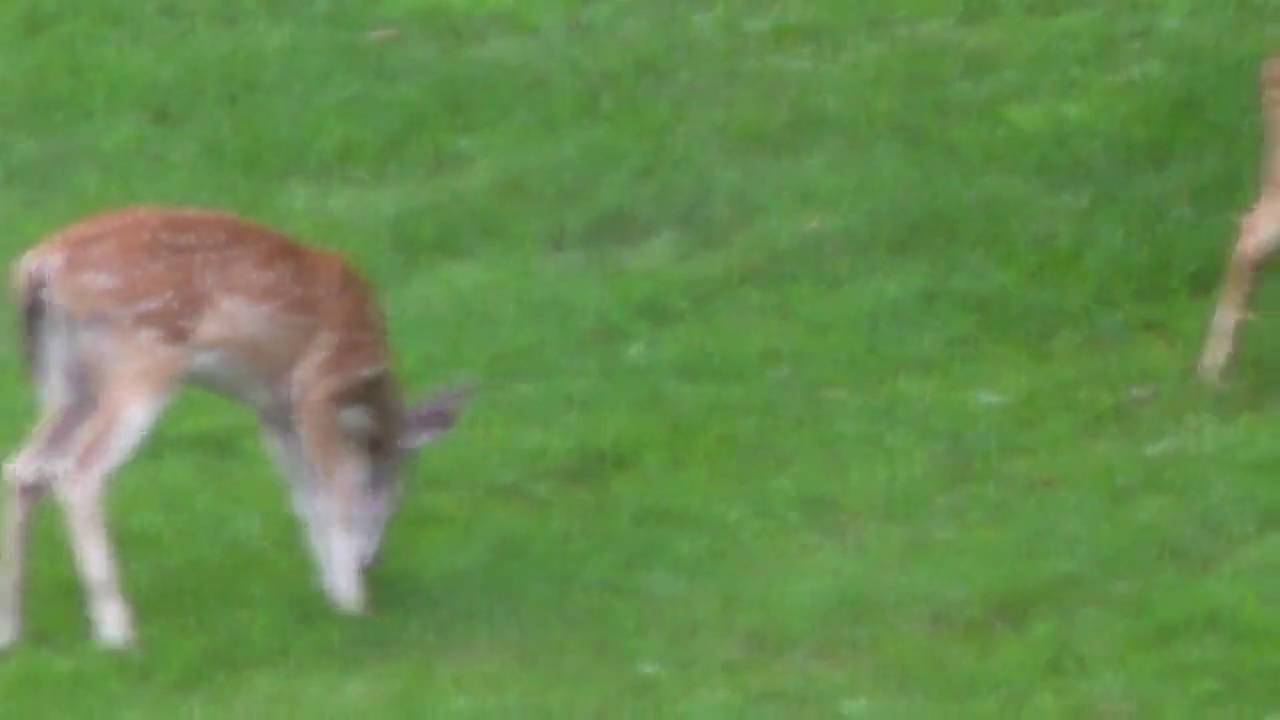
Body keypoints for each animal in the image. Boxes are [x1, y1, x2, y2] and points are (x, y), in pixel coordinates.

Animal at [0, 206, 469, 650]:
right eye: (390, 482)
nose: (373, 560)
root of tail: (38, 267)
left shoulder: (274, 410)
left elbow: (305, 497)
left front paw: (331, 595)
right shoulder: (316, 387)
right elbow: (334, 490)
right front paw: (353, 605)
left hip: (64, 383)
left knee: (25, 468)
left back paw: (13, 630)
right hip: (141, 359)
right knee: (80, 471)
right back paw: (118, 633)